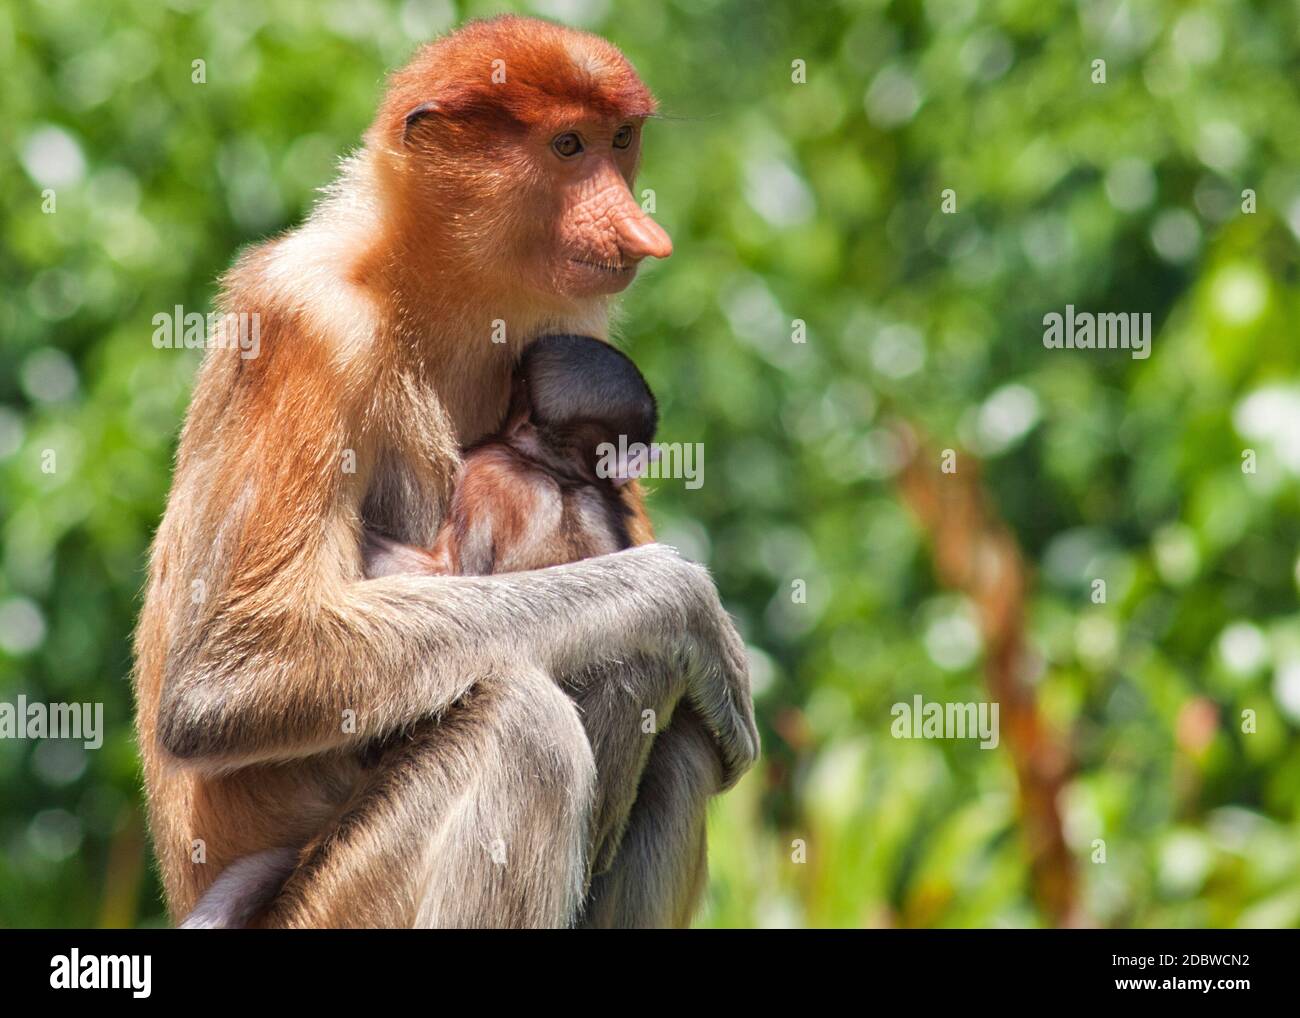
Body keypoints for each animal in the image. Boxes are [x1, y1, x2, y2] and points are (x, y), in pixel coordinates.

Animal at [137, 14, 757, 929]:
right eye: (567, 145)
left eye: (620, 140)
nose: (640, 234)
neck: (429, 281)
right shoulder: (310, 322)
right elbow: (226, 677)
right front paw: (682, 602)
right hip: (334, 902)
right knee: (528, 722)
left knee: (658, 737)